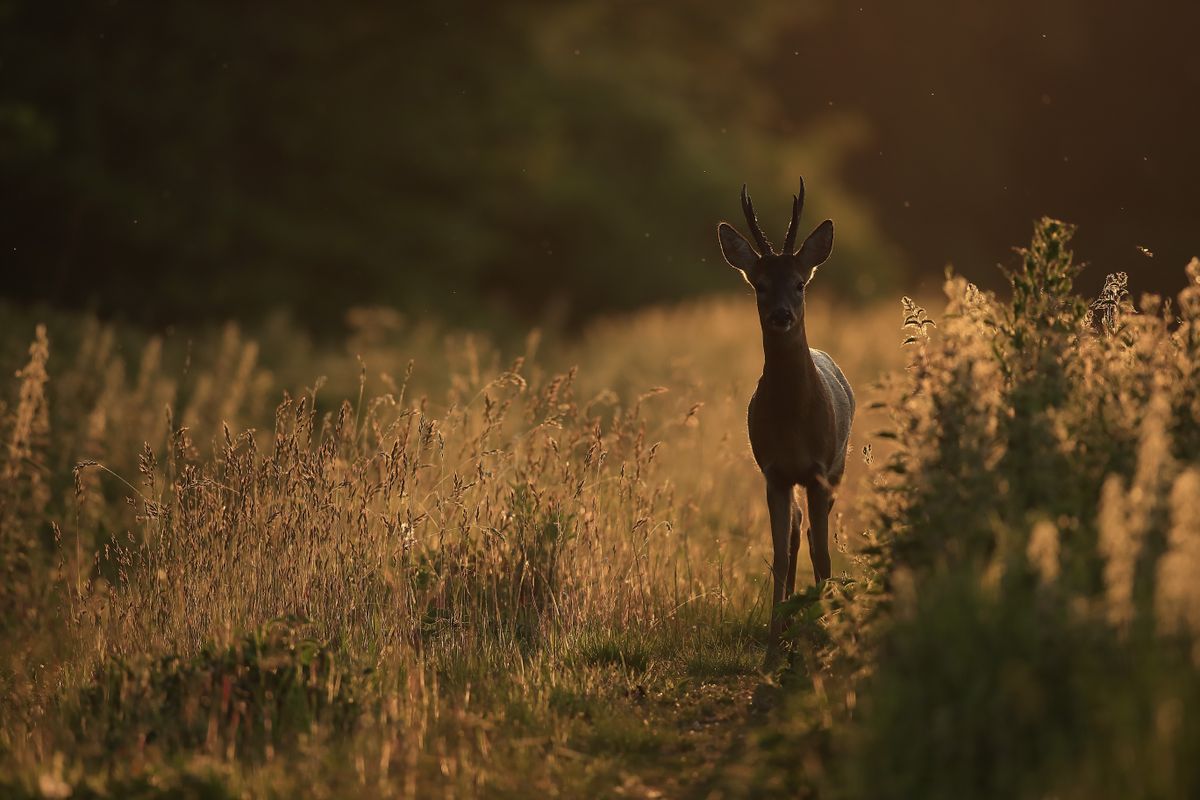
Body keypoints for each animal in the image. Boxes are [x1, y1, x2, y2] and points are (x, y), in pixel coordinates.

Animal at [716, 179, 855, 663]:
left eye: (799, 283)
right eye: (759, 285)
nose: (781, 315)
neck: (794, 423)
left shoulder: (819, 470)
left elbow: (823, 553)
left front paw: (820, 636)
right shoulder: (773, 472)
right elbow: (778, 555)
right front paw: (774, 647)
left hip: (838, 468)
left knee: (813, 535)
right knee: (796, 532)